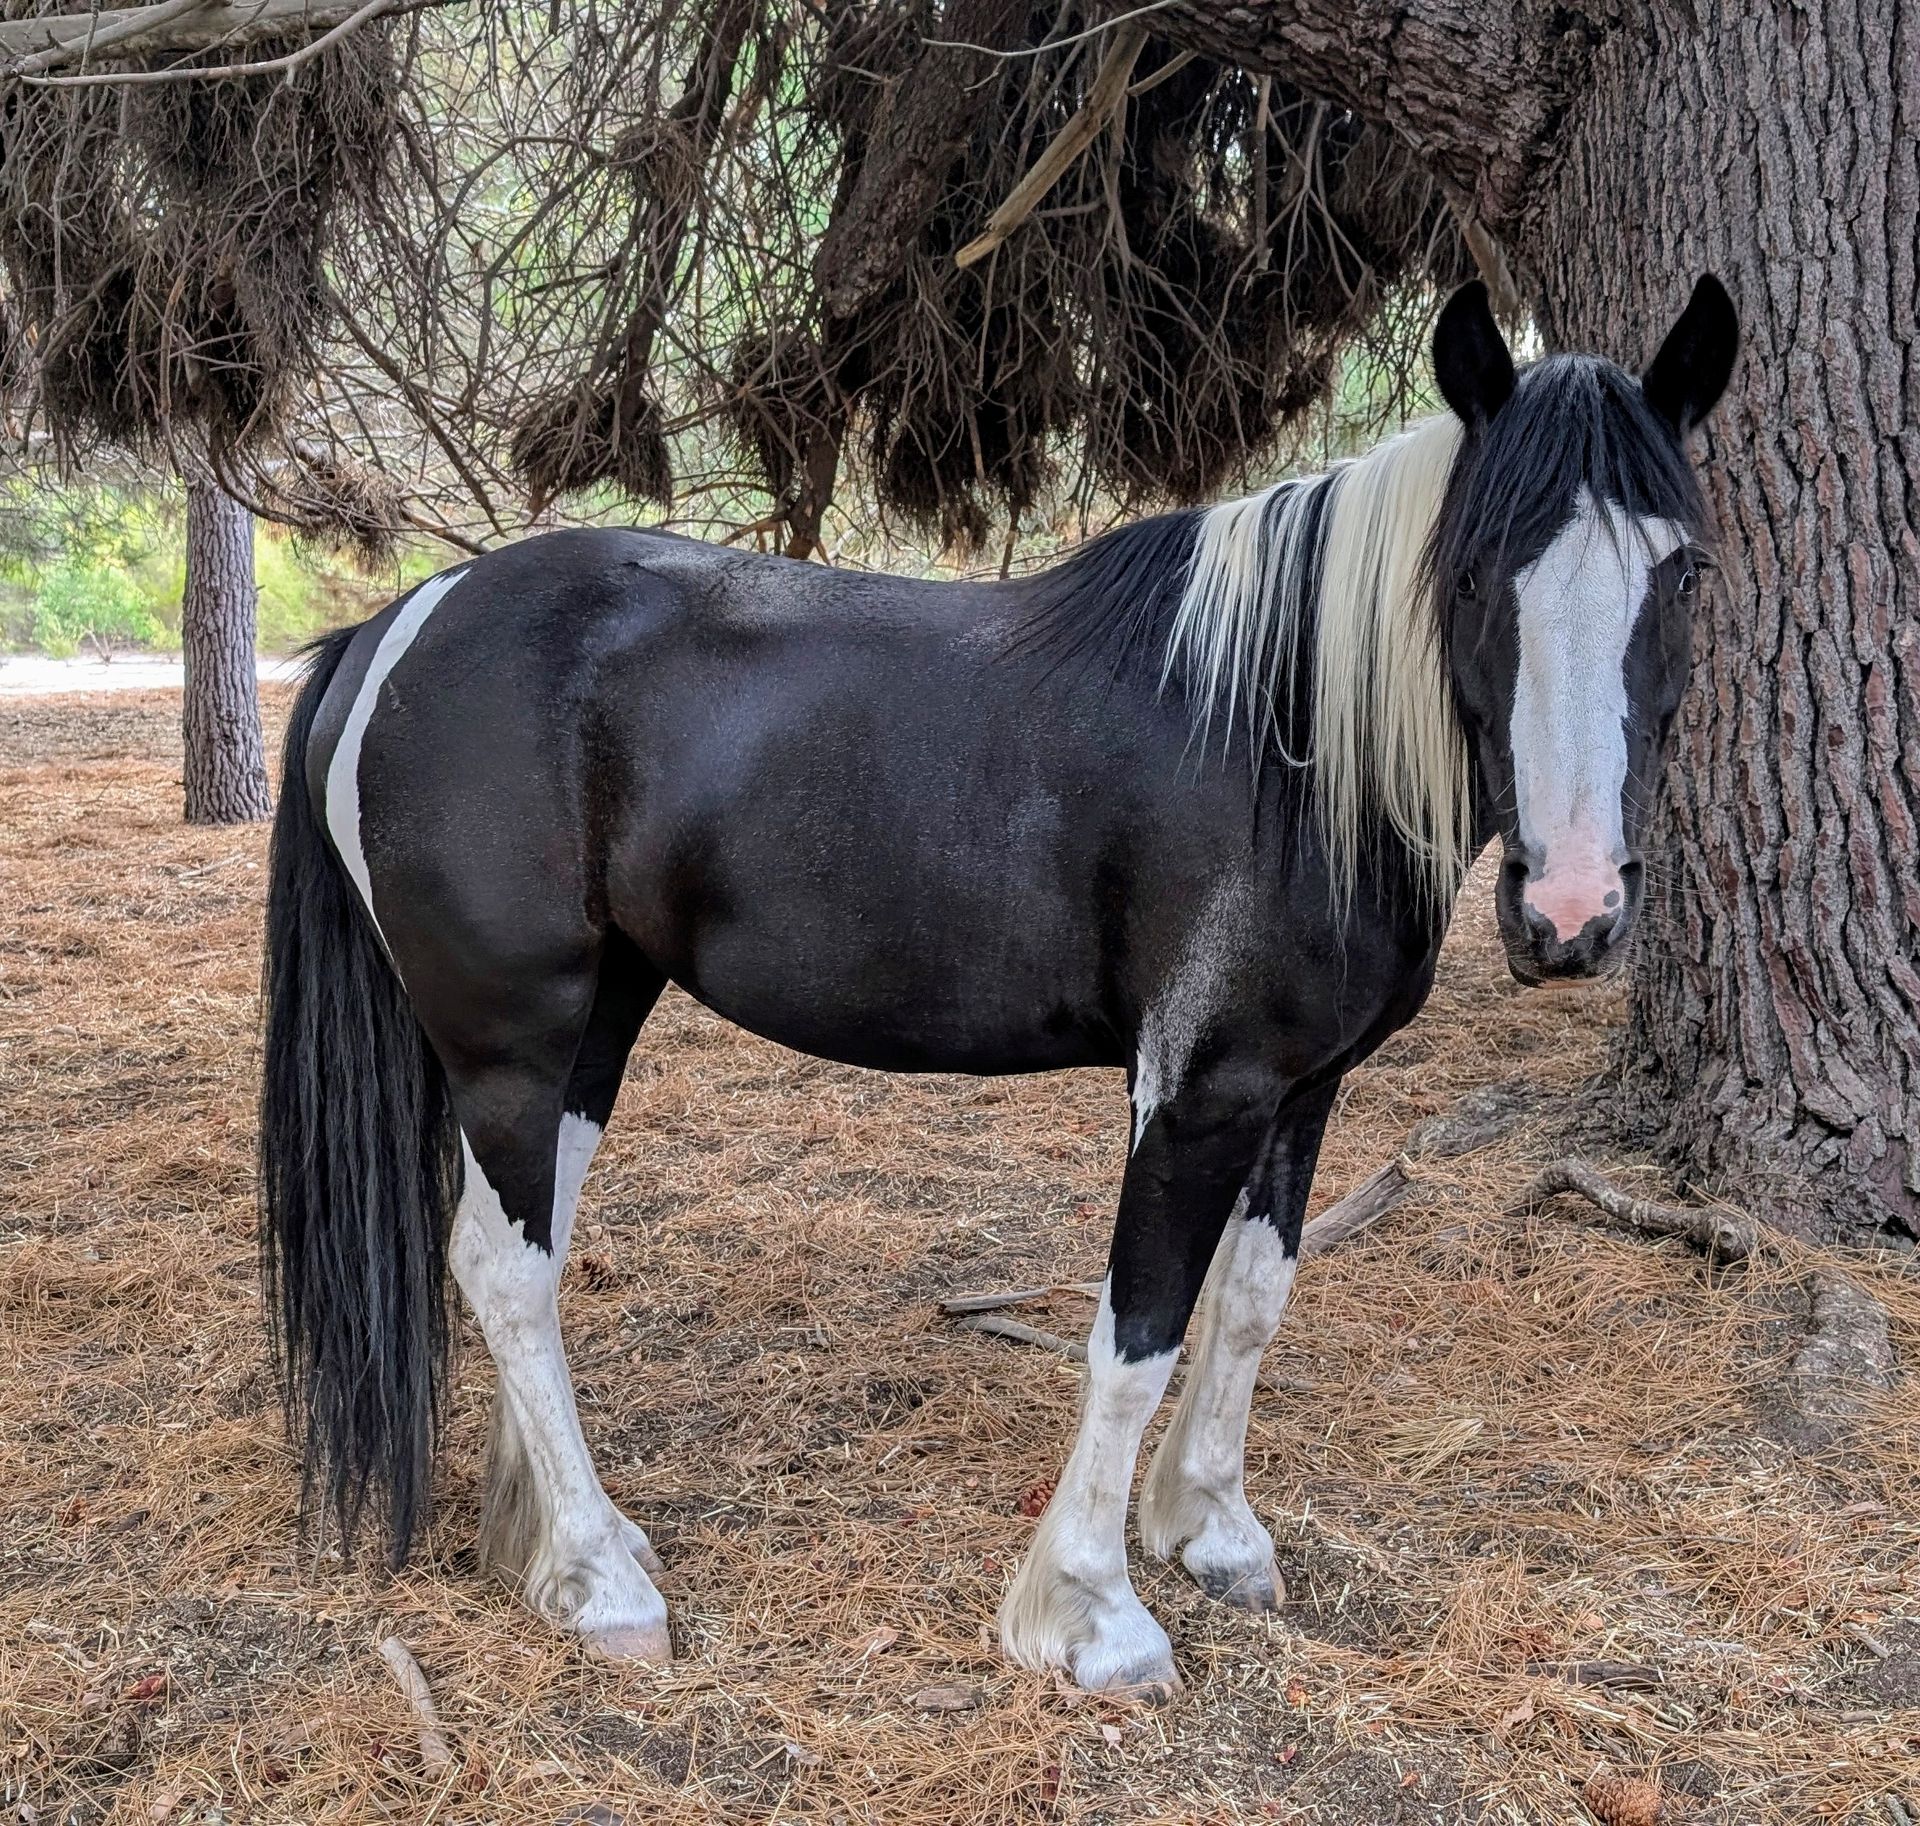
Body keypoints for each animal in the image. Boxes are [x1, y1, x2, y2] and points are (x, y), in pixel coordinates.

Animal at [259, 276, 1738, 1697]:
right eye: (1476, 571)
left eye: (1684, 573)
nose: (1572, 910)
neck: (1290, 740)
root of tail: (395, 627)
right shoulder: (1199, 1088)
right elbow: (1139, 1331)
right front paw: (1096, 1616)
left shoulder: (1304, 1087)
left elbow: (1251, 1302)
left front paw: (1215, 1532)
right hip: (514, 1038)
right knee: (504, 1268)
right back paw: (602, 1584)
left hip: (594, 1025)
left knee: (528, 1250)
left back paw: (566, 1545)